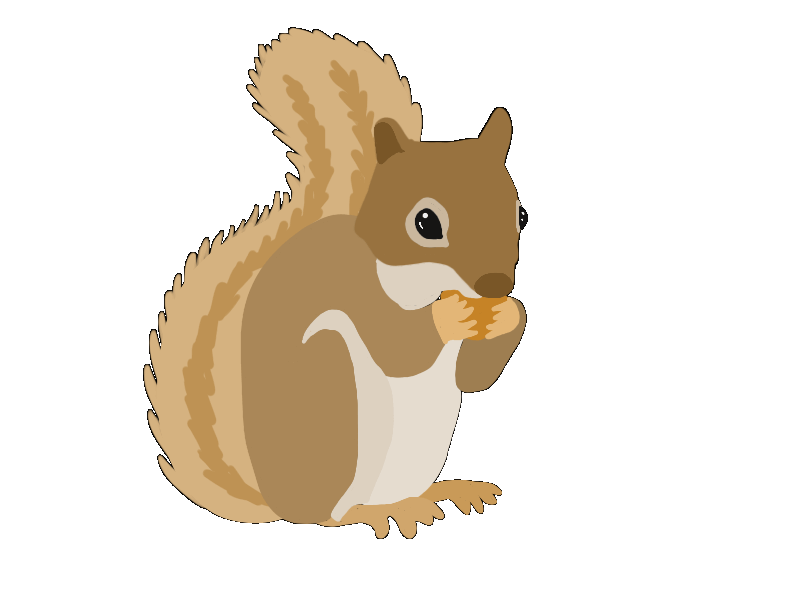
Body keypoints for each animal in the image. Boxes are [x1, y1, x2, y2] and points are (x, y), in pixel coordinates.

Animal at [144, 28, 527, 539]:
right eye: (425, 222)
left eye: (521, 213)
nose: (495, 283)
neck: (421, 285)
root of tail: (276, 502)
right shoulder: (353, 286)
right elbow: (398, 347)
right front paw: (451, 316)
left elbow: (473, 378)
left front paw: (508, 313)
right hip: (331, 397)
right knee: (329, 516)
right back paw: (377, 512)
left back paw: (440, 493)